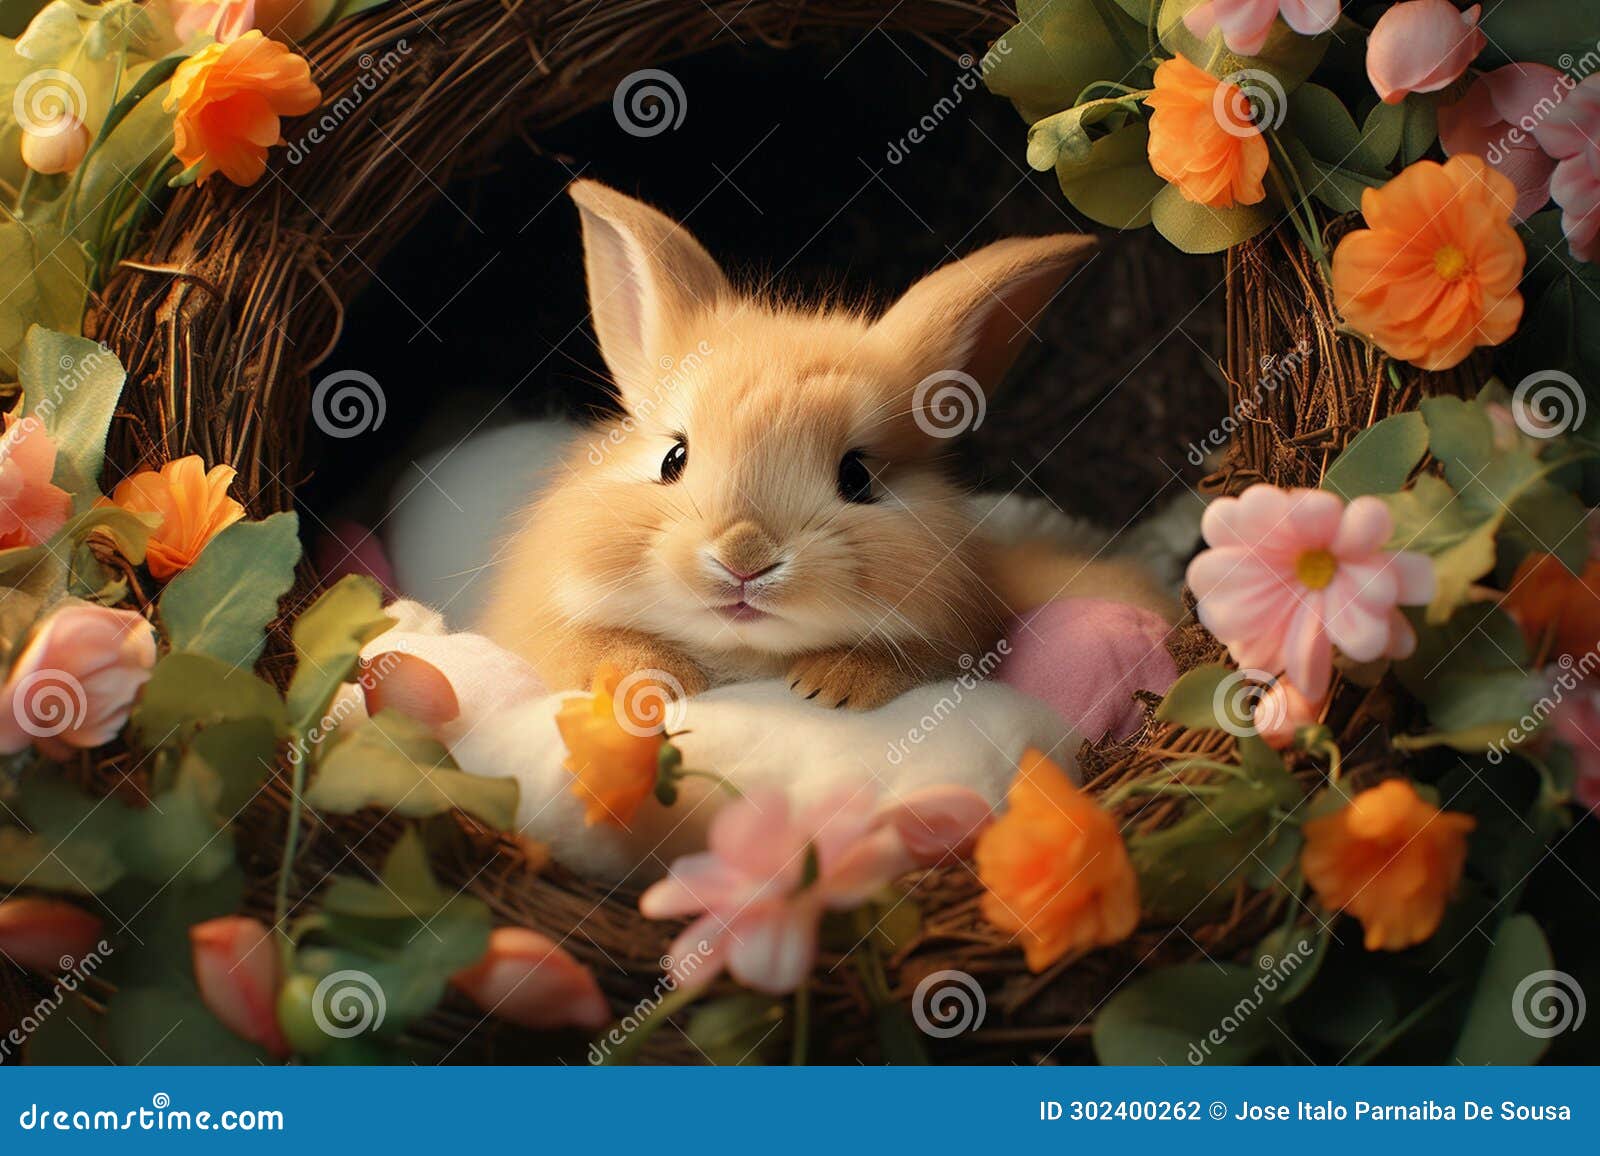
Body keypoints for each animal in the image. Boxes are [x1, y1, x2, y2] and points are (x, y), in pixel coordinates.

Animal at [475, 179, 1178, 710]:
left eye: (857, 478)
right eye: (673, 459)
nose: (745, 557)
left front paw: (828, 686)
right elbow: (594, 645)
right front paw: (649, 680)